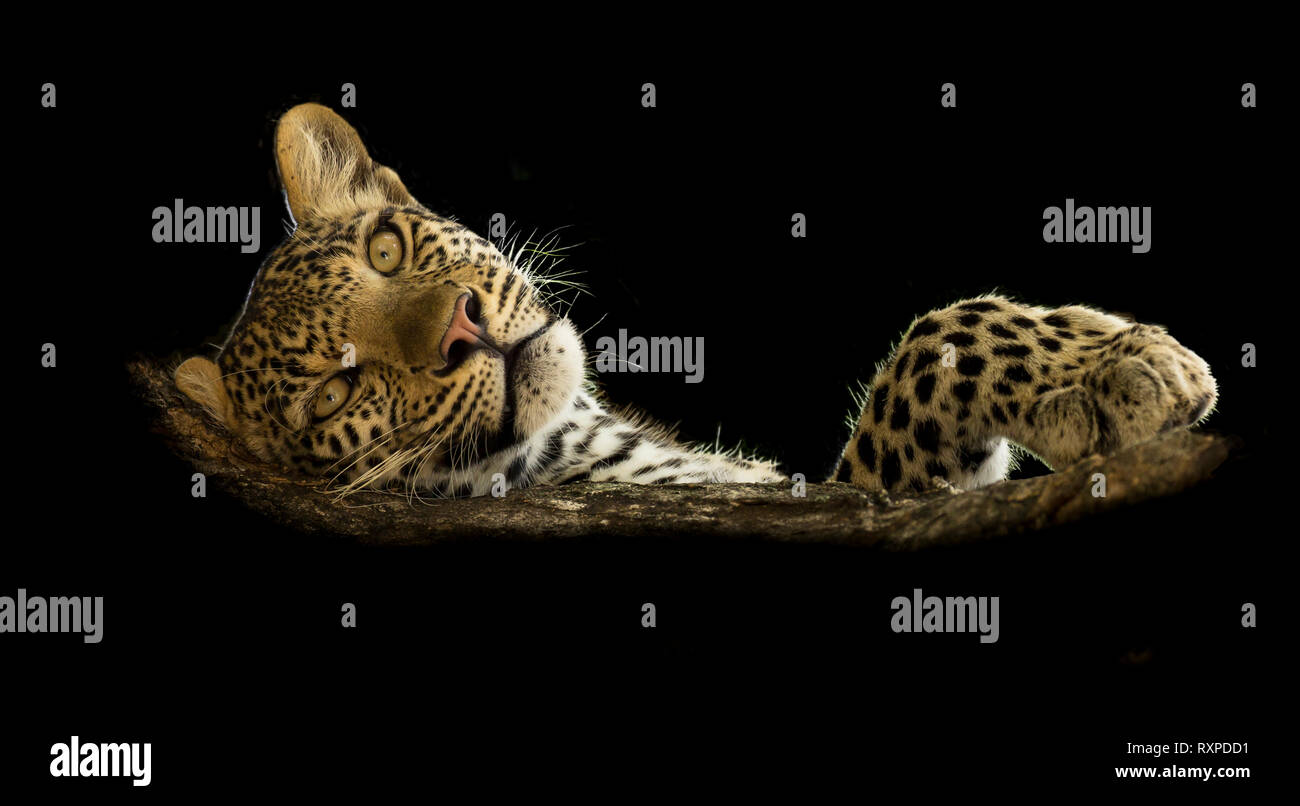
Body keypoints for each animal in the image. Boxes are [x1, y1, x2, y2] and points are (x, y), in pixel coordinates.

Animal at [173, 103, 1217, 501]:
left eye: (387, 249)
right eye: (334, 395)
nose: (462, 330)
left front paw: (1110, 356)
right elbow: (925, 344)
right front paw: (1119, 375)